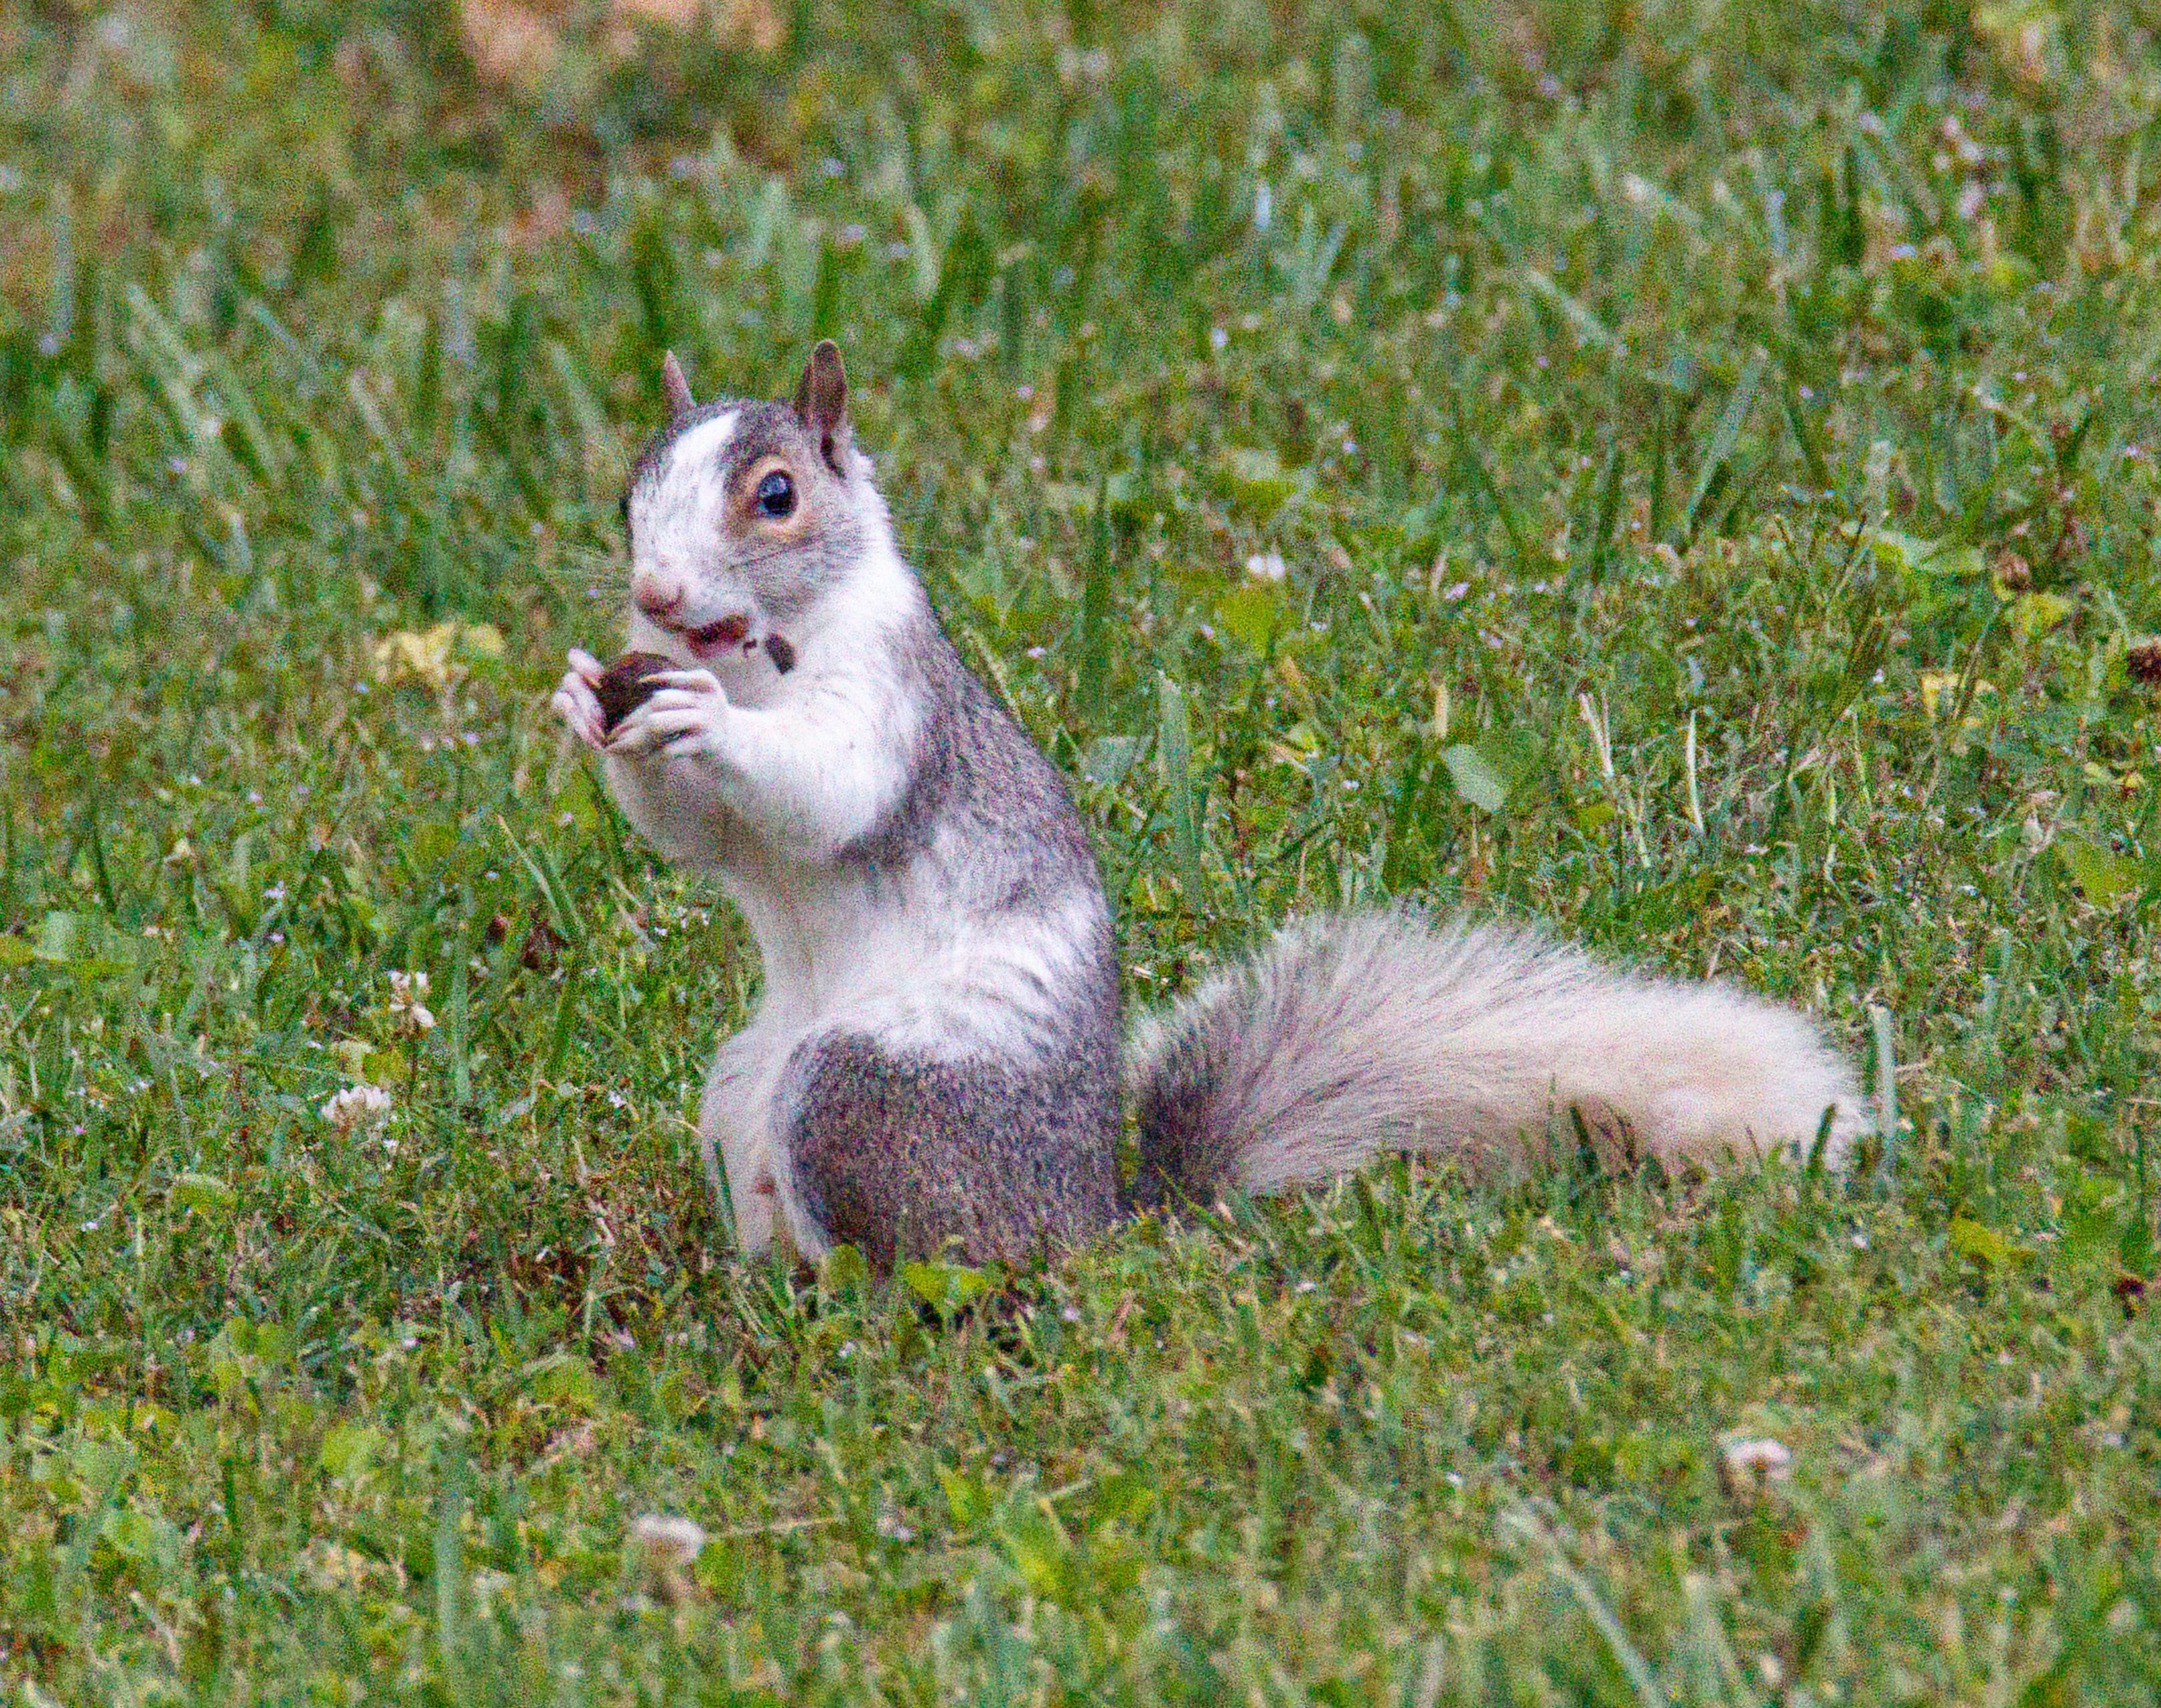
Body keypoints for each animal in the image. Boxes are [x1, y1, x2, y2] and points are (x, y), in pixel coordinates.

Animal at [553, 342, 1862, 1273]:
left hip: (861, 1097)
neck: (750, 656)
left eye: (776, 495)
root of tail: (1090, 1220)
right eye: (627, 499)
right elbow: (698, 832)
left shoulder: (892, 699)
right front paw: (584, 701)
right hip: (742, 1093)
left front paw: (705, 723)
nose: (653, 595)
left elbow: (826, 782)